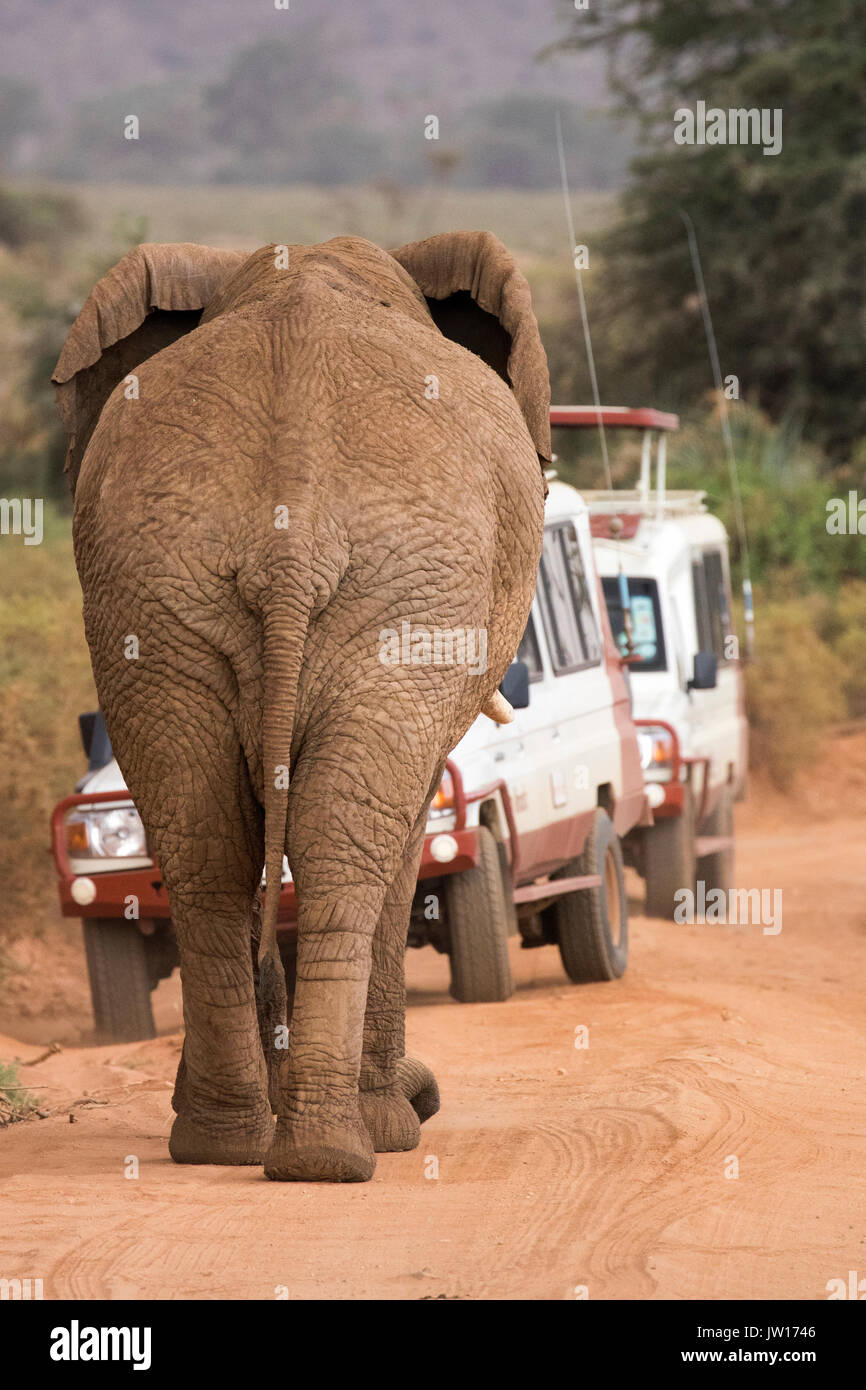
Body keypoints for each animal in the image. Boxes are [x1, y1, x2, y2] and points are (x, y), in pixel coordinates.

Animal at [53, 231, 550, 1181]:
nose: (427, 1098)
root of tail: (289, 542)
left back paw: (223, 1143)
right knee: (342, 847)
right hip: (401, 605)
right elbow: (403, 840)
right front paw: (398, 1115)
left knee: (205, 841)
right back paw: (344, 1148)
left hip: (154, 594)